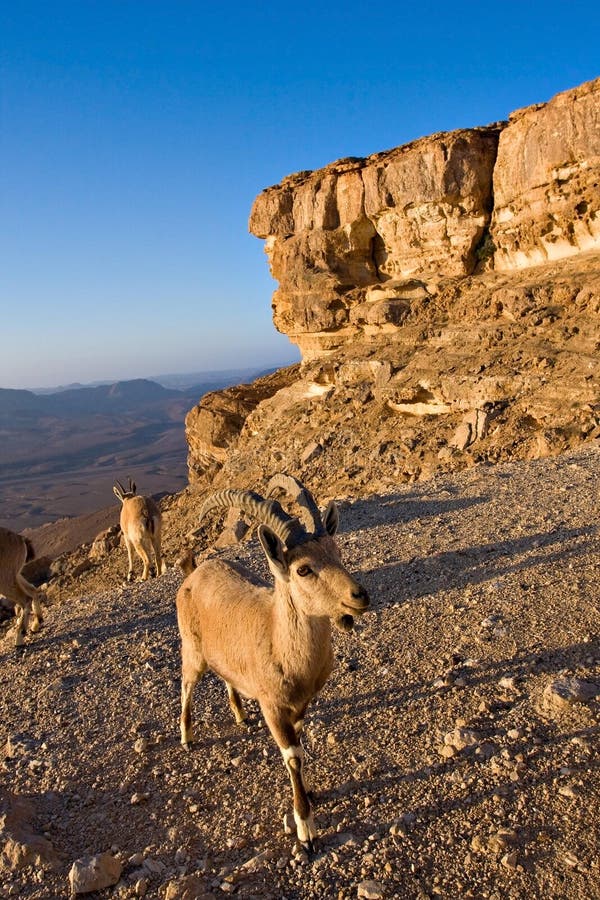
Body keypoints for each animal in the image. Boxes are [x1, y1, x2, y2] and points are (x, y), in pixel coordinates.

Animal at [175, 476, 370, 851]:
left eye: (337, 553)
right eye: (303, 569)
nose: (359, 596)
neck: (282, 645)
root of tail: (195, 572)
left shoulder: (301, 705)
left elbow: (301, 745)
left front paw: (311, 791)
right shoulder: (273, 707)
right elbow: (292, 756)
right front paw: (305, 827)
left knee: (227, 677)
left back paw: (239, 714)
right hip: (192, 651)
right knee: (187, 684)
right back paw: (187, 735)